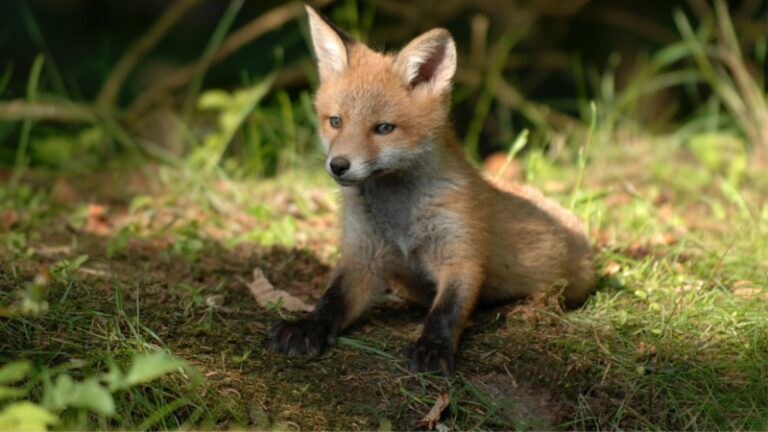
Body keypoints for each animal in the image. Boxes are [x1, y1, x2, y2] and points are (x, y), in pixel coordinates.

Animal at [269, 5, 594, 375]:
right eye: (335, 122)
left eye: (384, 128)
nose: (338, 165)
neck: (400, 216)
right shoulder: (362, 256)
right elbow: (331, 300)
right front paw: (307, 326)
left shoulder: (460, 253)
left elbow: (446, 310)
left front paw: (433, 347)